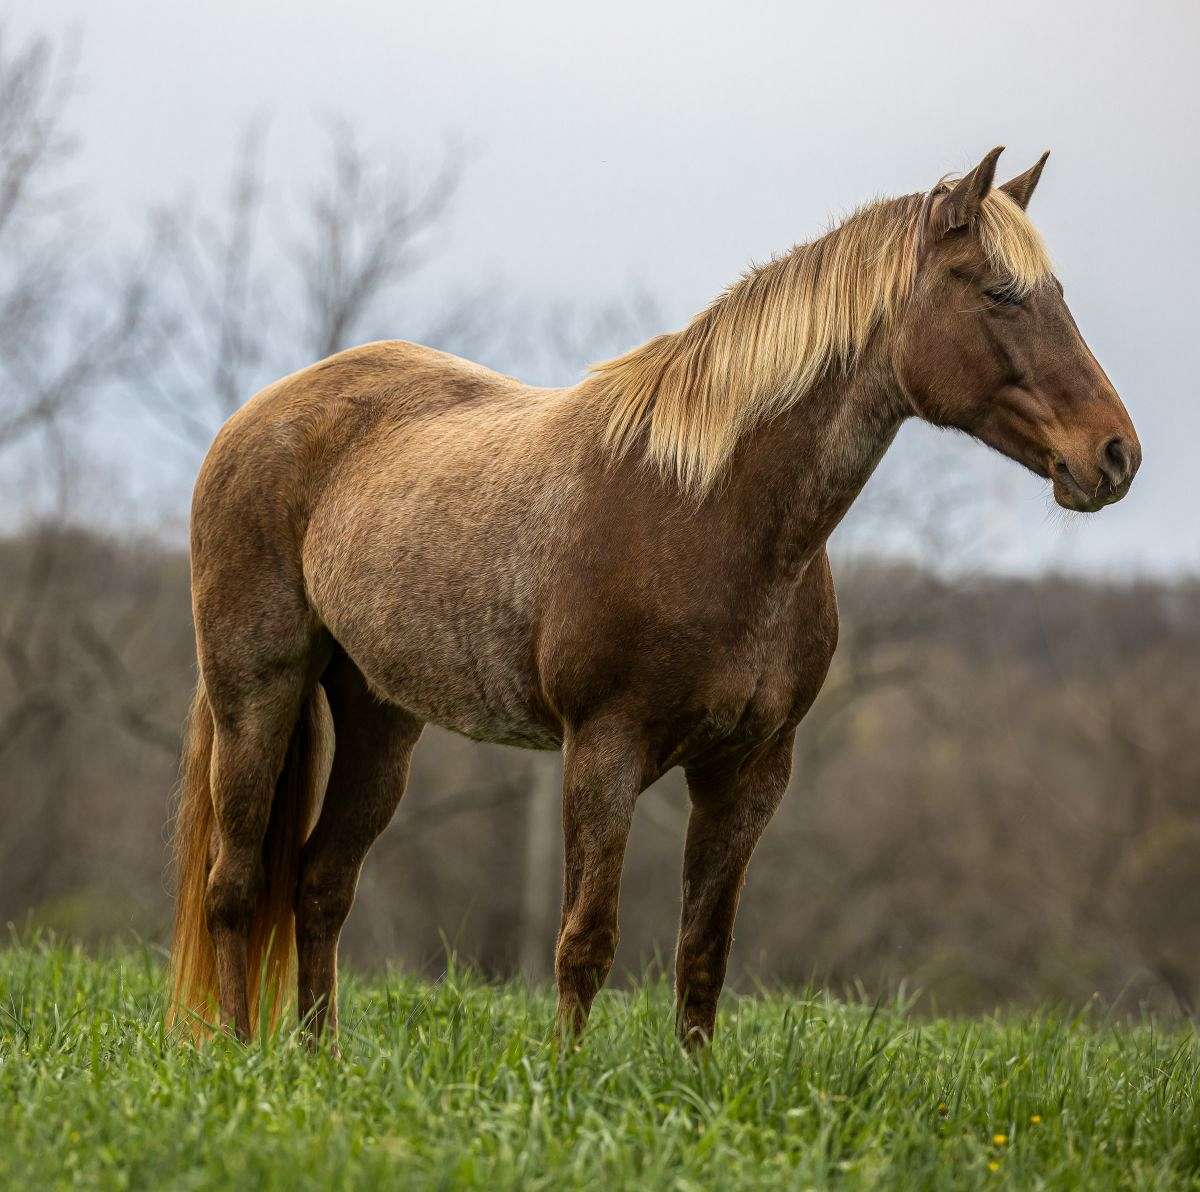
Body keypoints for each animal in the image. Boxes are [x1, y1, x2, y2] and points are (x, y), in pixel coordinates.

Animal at [170, 147, 1140, 1047]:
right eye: (998, 293)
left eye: (1055, 293)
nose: (1114, 455)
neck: (707, 509)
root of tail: (254, 416)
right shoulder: (604, 750)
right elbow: (584, 942)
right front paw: (562, 1086)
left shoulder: (749, 773)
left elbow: (702, 955)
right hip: (257, 693)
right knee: (236, 884)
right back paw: (244, 1059)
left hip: (380, 717)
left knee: (321, 885)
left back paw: (318, 1060)